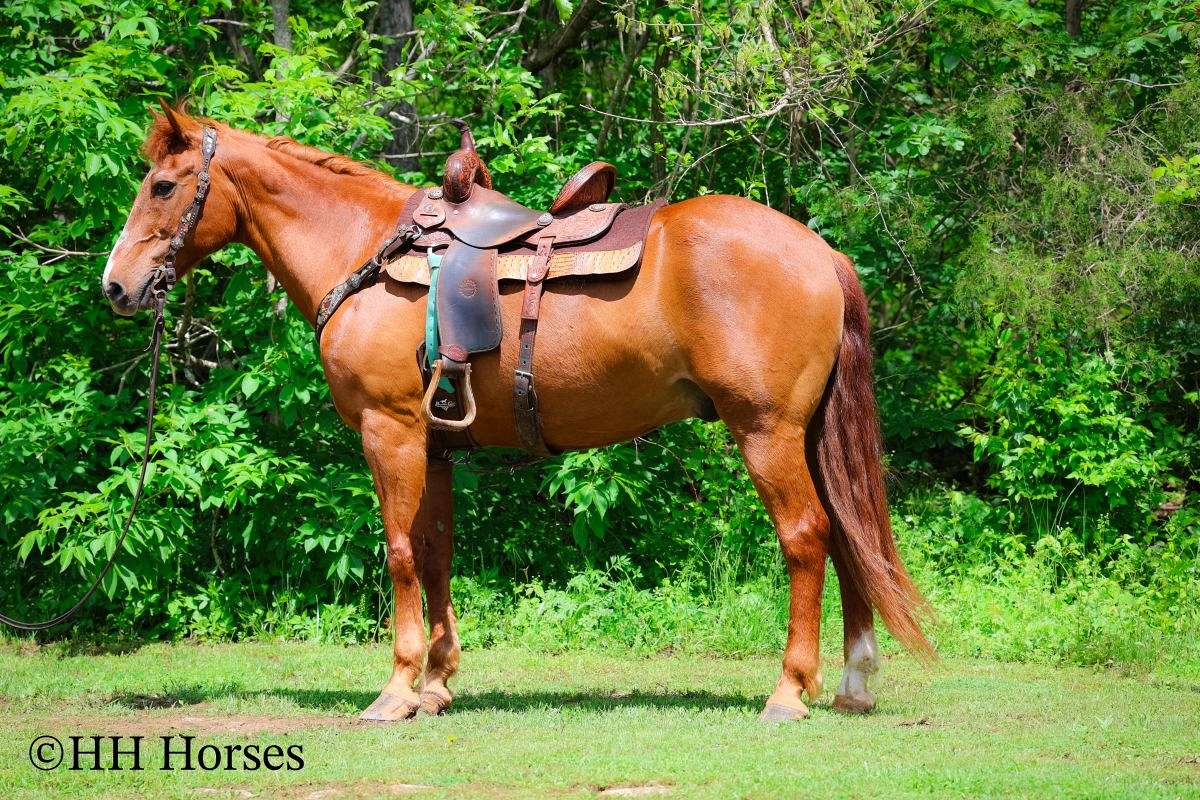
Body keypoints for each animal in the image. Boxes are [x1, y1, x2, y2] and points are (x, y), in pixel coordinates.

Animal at [102, 104, 930, 722]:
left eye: (165, 186)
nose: (116, 286)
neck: (367, 252)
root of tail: (820, 252)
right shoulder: (434, 444)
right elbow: (434, 553)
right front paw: (436, 684)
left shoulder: (390, 432)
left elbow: (398, 553)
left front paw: (396, 690)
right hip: (810, 434)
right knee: (849, 536)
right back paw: (854, 683)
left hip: (766, 431)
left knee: (807, 537)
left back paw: (790, 691)